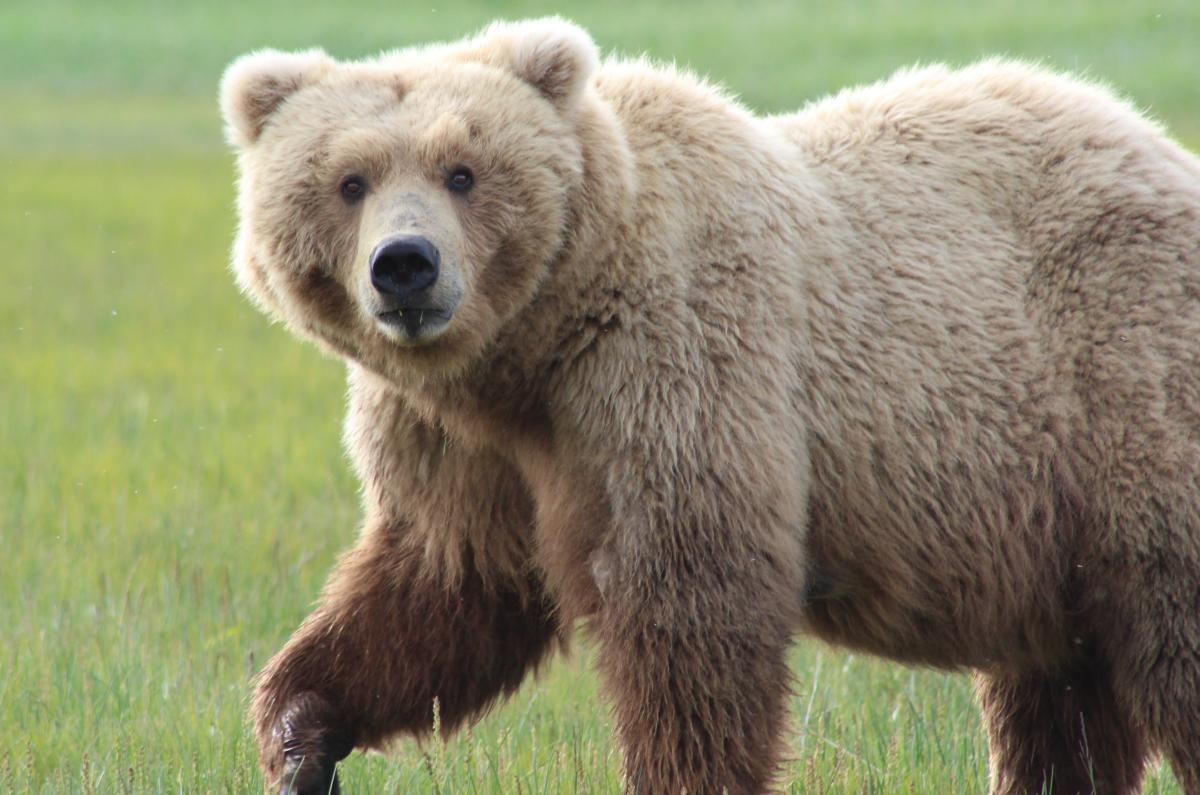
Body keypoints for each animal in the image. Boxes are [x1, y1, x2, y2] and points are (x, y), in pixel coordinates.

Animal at [220, 18, 1200, 795]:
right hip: (1048, 524)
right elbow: (443, 588)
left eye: (463, 170)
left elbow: (690, 615)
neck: (534, 349)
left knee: (1166, 633)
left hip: (1119, 380)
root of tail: (1166, 150)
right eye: (349, 180)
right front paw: (303, 736)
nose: (406, 265)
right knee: (1060, 697)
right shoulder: (461, 442)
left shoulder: (675, 364)